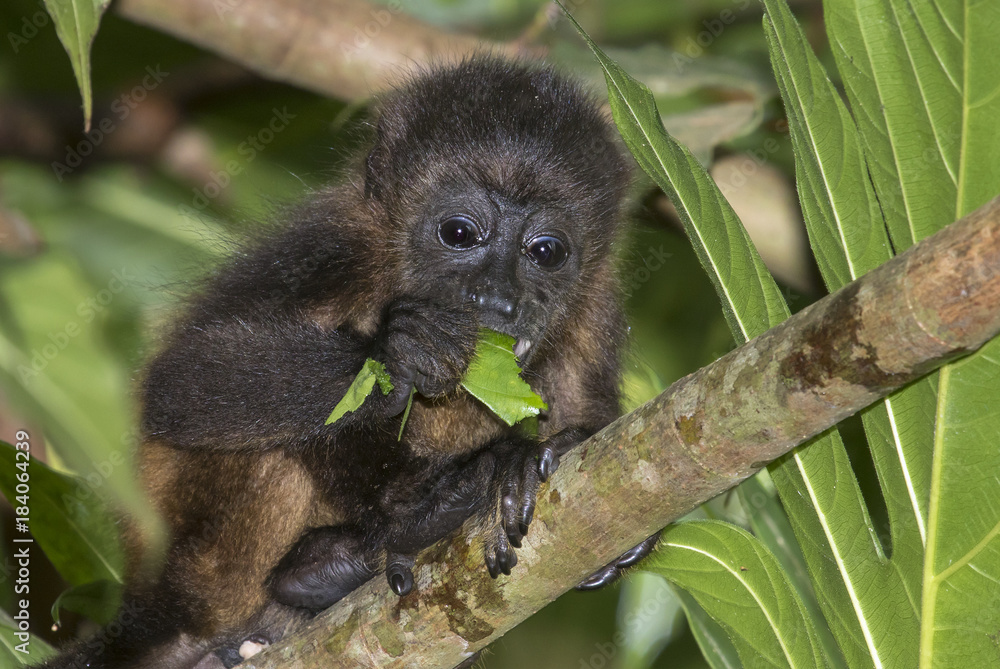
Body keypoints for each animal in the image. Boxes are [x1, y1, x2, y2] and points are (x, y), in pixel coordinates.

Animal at [40, 56, 657, 669]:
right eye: (458, 233)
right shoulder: (329, 244)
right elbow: (181, 379)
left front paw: (564, 470)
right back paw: (398, 523)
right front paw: (398, 353)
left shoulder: (597, 307)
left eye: (546, 251)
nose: (497, 301)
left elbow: (589, 421)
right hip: (198, 561)